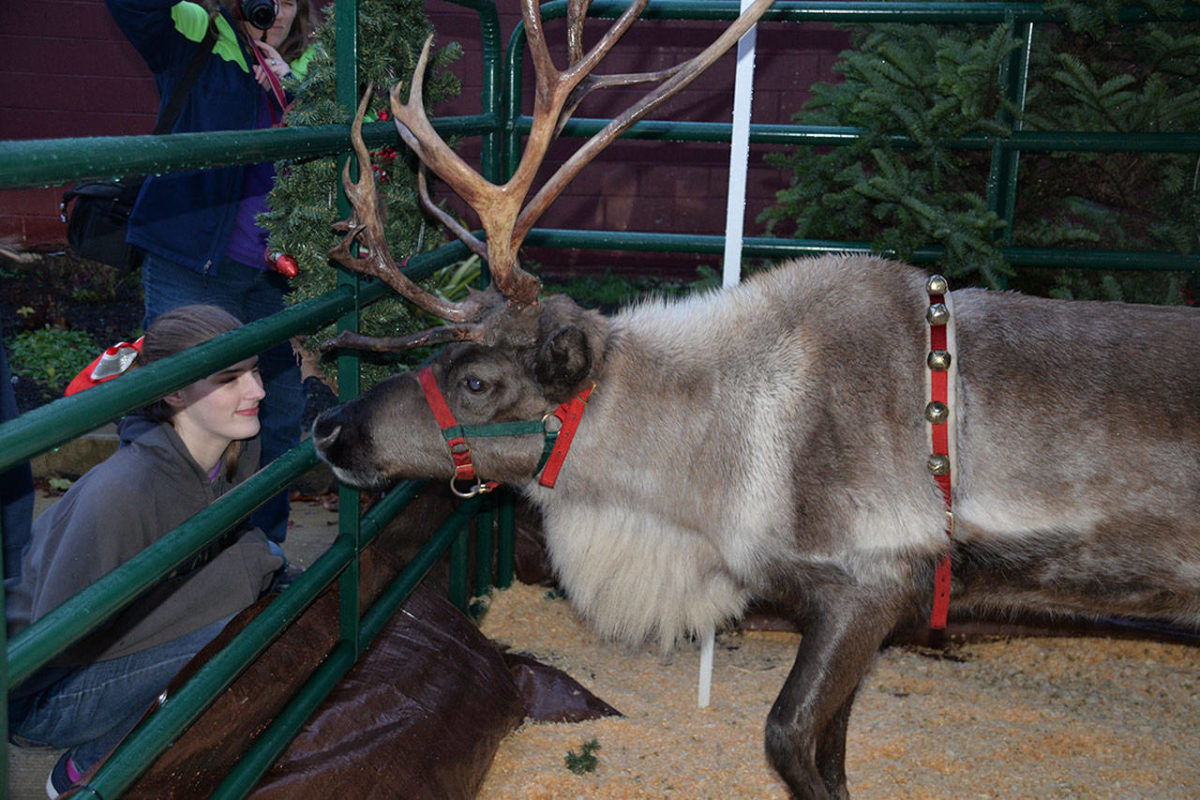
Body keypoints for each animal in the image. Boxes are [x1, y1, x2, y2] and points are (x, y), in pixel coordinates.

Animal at [310, 0, 1200, 796]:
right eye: (443, 356)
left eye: (477, 382)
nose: (330, 426)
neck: (703, 458)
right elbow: (830, 751)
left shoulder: (874, 580)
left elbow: (791, 740)